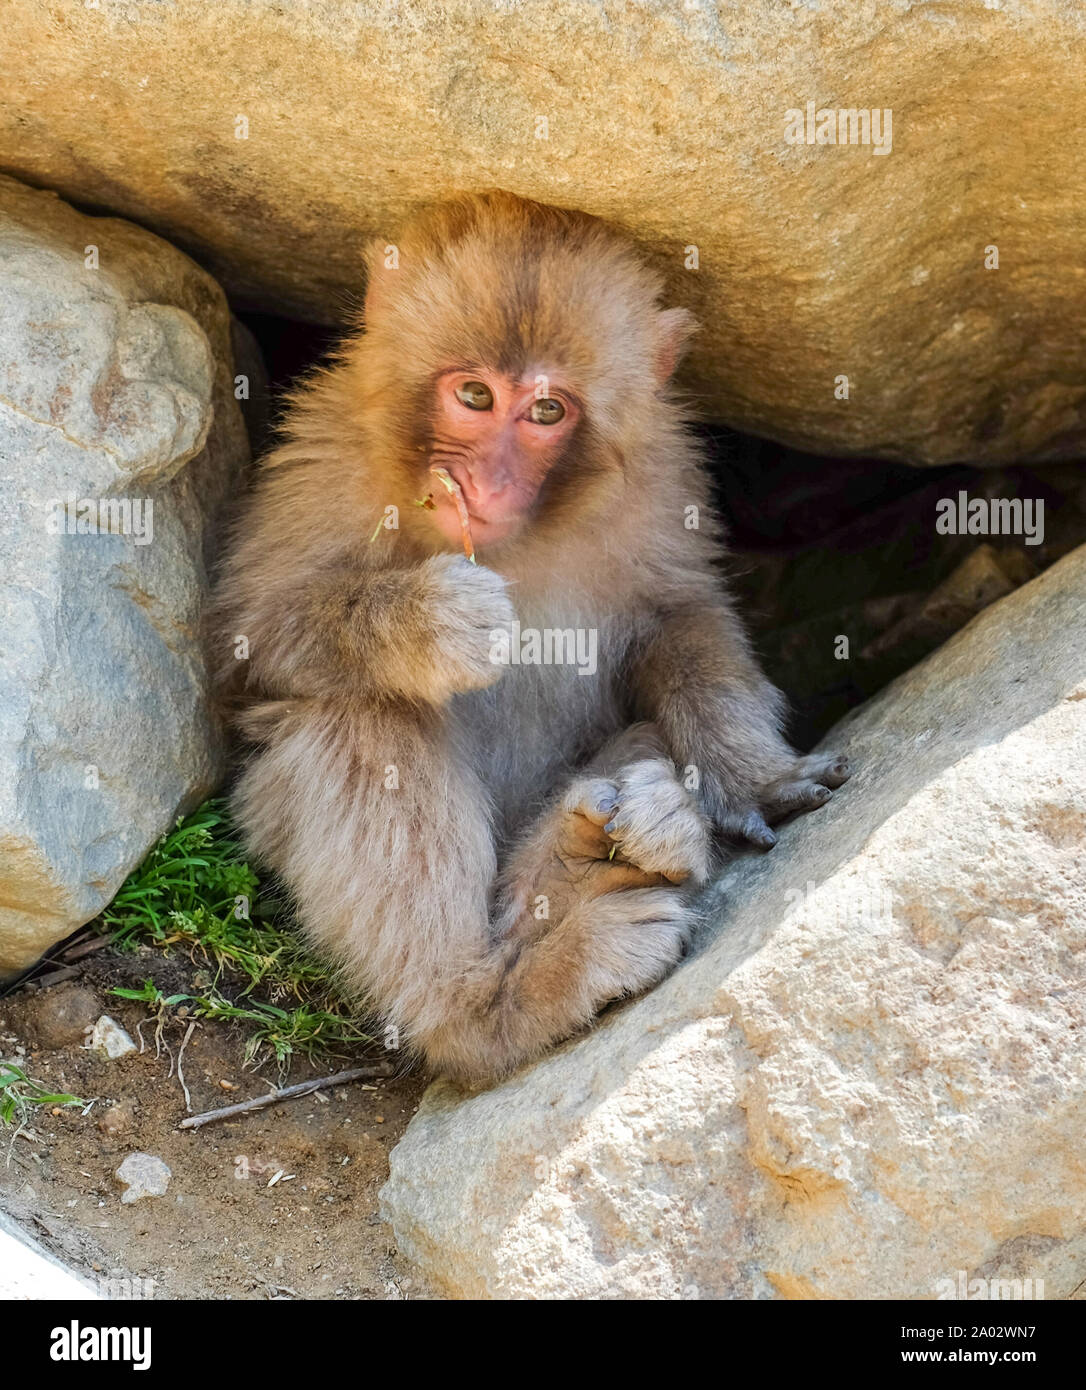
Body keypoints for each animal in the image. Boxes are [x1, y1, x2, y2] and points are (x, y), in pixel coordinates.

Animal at [210, 191, 850, 1083]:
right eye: (475, 396)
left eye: (547, 411)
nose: (485, 485)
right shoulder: (324, 456)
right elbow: (249, 642)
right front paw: (430, 622)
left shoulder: (663, 479)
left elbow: (682, 619)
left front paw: (751, 776)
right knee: (361, 716)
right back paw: (485, 1006)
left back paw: (599, 857)